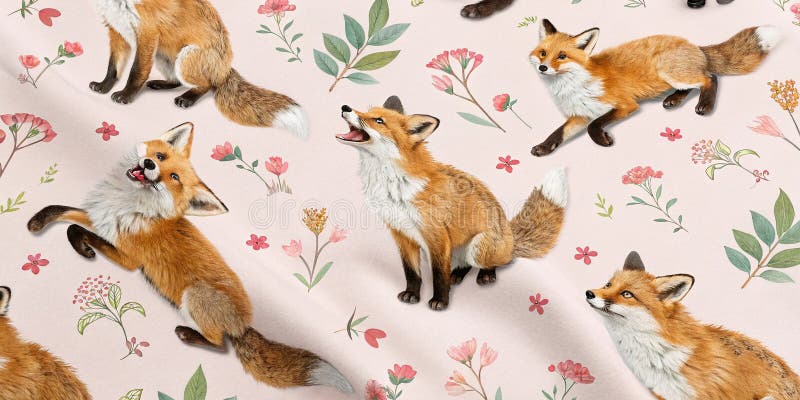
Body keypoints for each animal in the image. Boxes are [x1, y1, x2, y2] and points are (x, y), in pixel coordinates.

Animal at [27, 122, 352, 393]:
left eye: (173, 178)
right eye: (159, 156)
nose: (148, 164)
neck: (131, 205)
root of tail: (244, 325)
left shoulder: (128, 258)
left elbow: (75, 229)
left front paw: (84, 249)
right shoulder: (103, 220)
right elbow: (62, 211)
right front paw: (37, 222)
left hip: (194, 295)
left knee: (220, 345)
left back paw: (187, 334)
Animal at [89, 0, 308, 137]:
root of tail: (225, 69)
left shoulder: (147, 32)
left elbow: (135, 72)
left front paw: (126, 95)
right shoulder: (116, 29)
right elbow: (113, 67)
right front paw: (103, 86)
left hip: (186, 58)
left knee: (207, 84)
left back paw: (188, 98)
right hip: (163, 57)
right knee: (176, 80)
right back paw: (161, 84)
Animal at [336, 96, 568, 311]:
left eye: (378, 120)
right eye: (368, 113)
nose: (345, 107)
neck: (394, 186)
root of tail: (510, 239)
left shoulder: (436, 234)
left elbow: (439, 274)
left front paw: (440, 300)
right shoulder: (401, 234)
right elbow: (411, 272)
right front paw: (412, 294)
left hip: (478, 247)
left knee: (496, 262)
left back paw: (486, 275)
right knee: (464, 265)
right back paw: (457, 275)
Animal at [529, 19, 781, 157]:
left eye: (562, 56)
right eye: (543, 53)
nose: (542, 67)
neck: (573, 87)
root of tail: (695, 46)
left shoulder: (626, 105)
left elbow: (594, 125)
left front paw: (602, 139)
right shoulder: (579, 115)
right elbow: (558, 133)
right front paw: (543, 147)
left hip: (668, 71)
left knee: (710, 78)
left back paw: (705, 105)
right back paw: (674, 100)